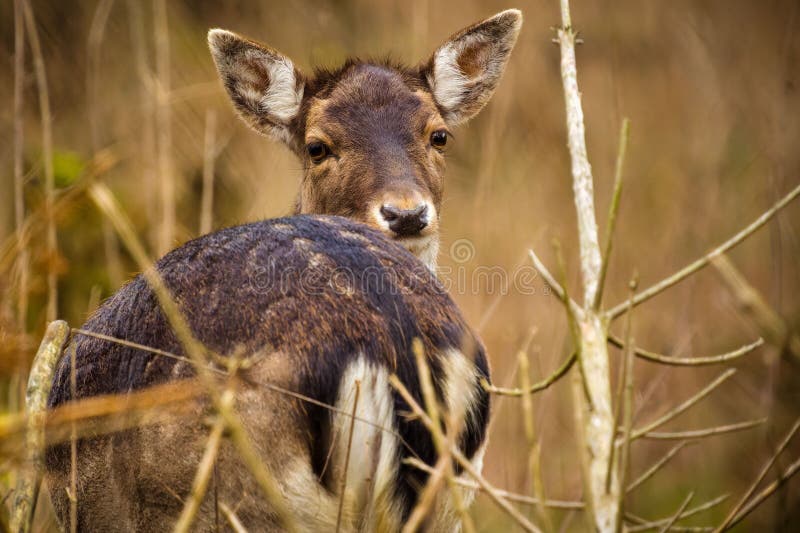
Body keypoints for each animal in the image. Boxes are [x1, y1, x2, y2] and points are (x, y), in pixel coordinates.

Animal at [44, 9, 522, 532]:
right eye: (317, 147)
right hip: (452, 497)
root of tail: (392, 349)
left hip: (245, 491)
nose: (406, 214)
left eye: (438, 135)